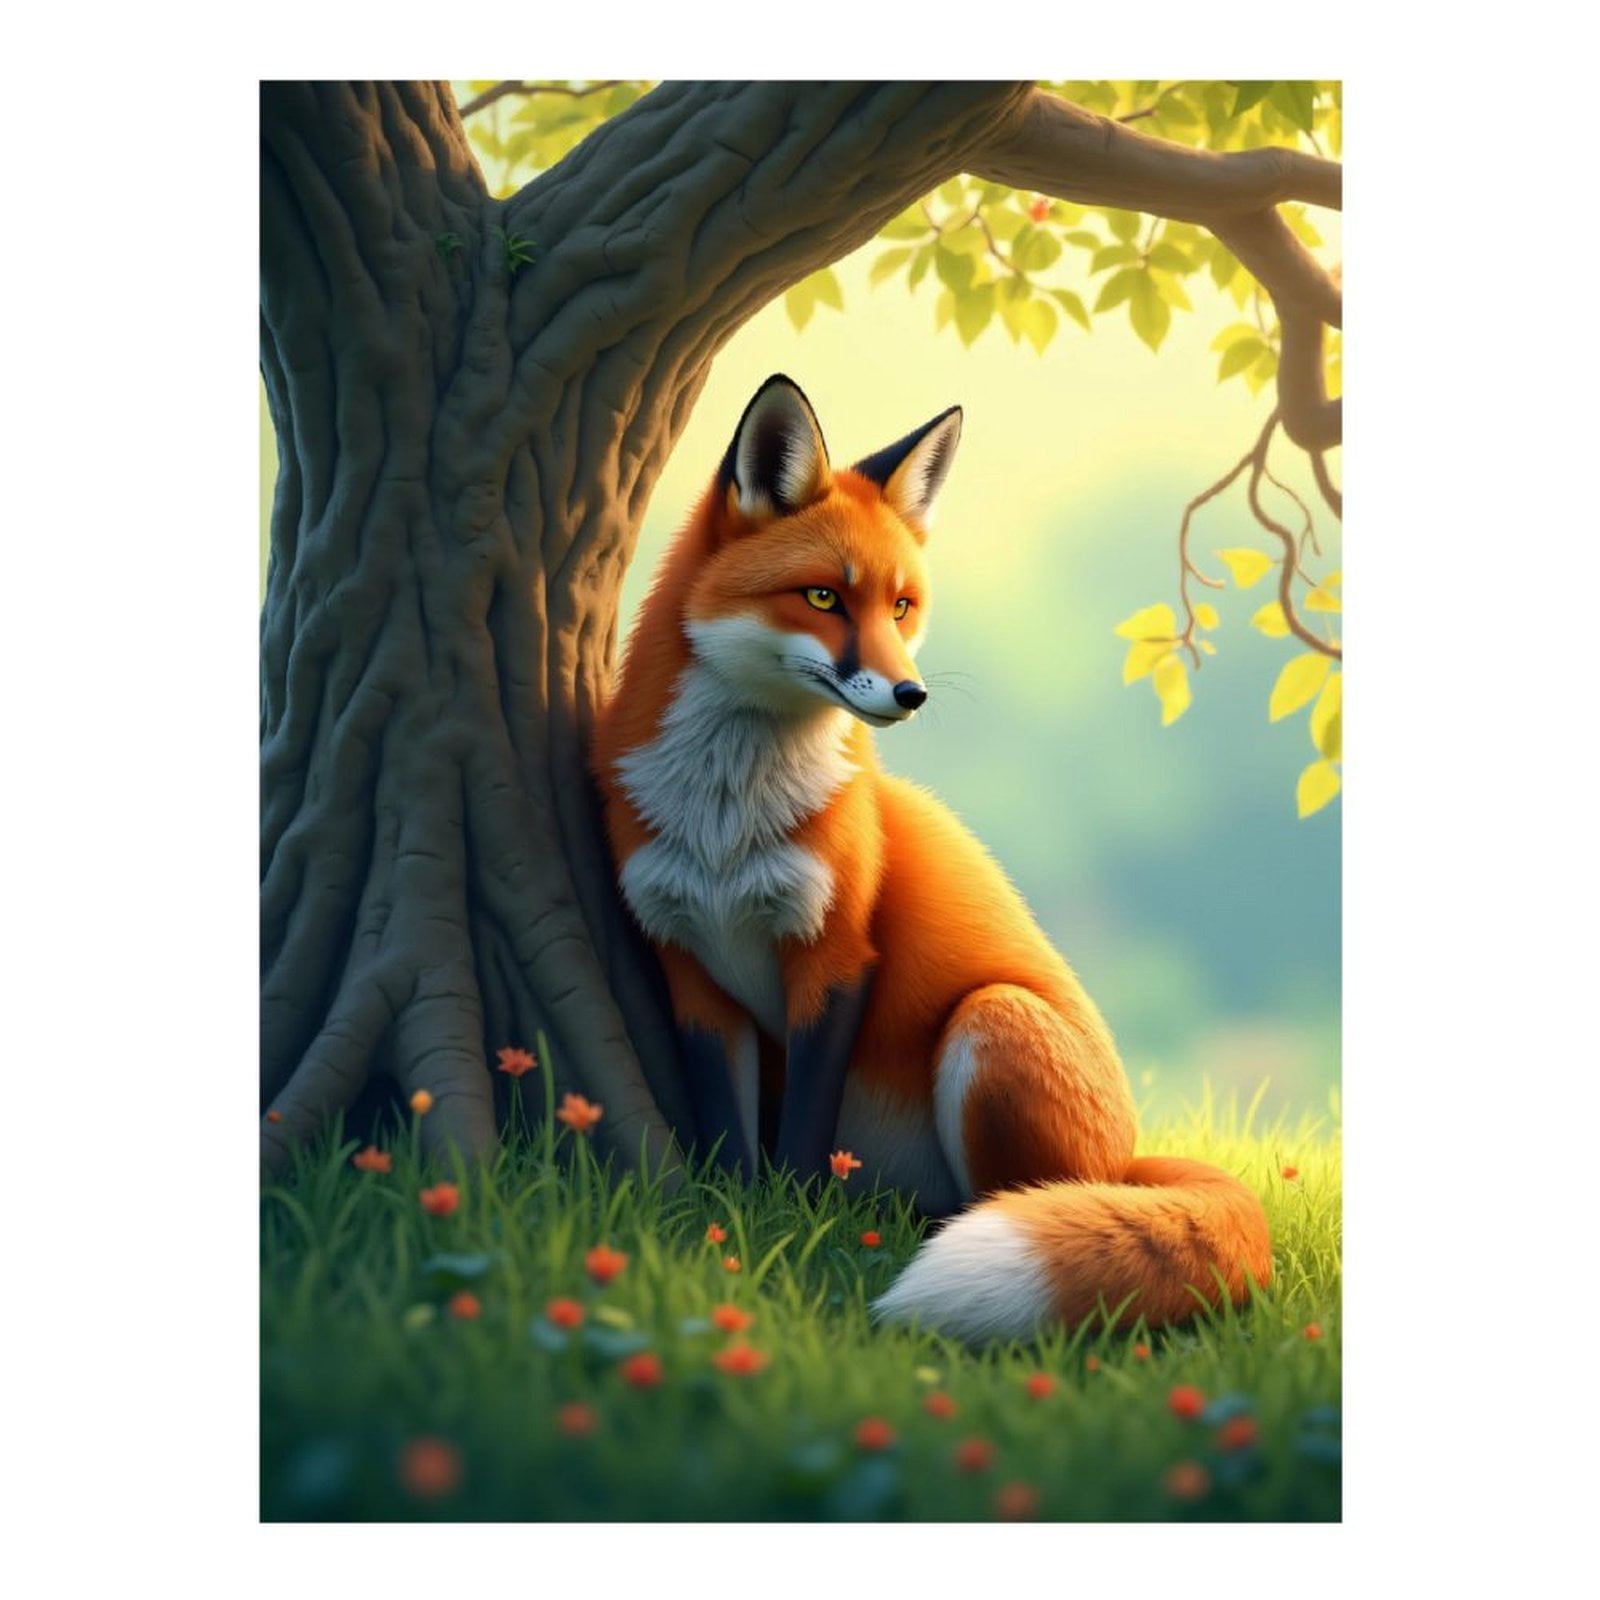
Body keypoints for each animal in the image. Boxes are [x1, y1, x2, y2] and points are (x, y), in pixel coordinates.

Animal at [591, 374, 1272, 1341]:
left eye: (902, 607)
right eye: (824, 599)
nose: (910, 692)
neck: (726, 822)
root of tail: (1131, 1157)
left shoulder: (836, 955)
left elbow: (804, 1132)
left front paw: (786, 1223)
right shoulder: (688, 965)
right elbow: (729, 1135)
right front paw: (728, 1221)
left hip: (994, 1022)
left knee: (1025, 1200)